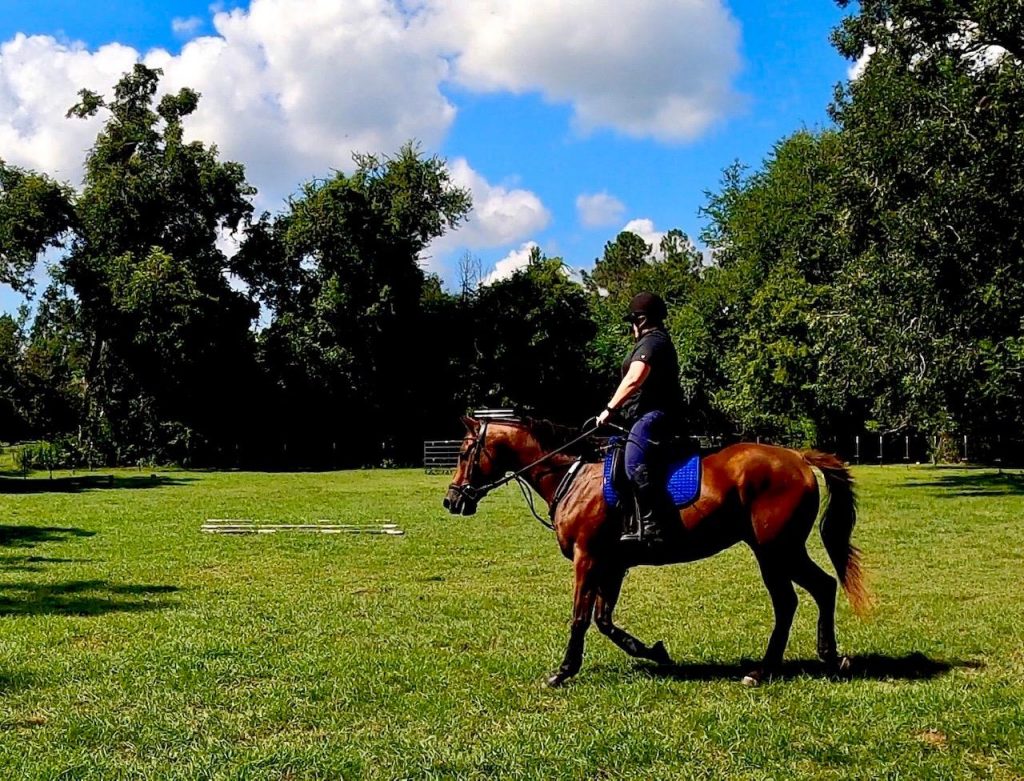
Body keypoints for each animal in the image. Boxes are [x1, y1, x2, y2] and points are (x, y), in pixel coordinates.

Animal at [443, 416, 869, 687]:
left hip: (775, 550)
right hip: (782, 550)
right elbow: (605, 620)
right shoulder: (612, 564)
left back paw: (765, 670)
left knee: (792, 600)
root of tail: (798, 458)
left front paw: (563, 671)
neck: (573, 476)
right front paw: (654, 651)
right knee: (821, 588)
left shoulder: (588, 558)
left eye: (464, 453)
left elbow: (581, 617)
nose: (452, 501)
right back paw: (829, 657)